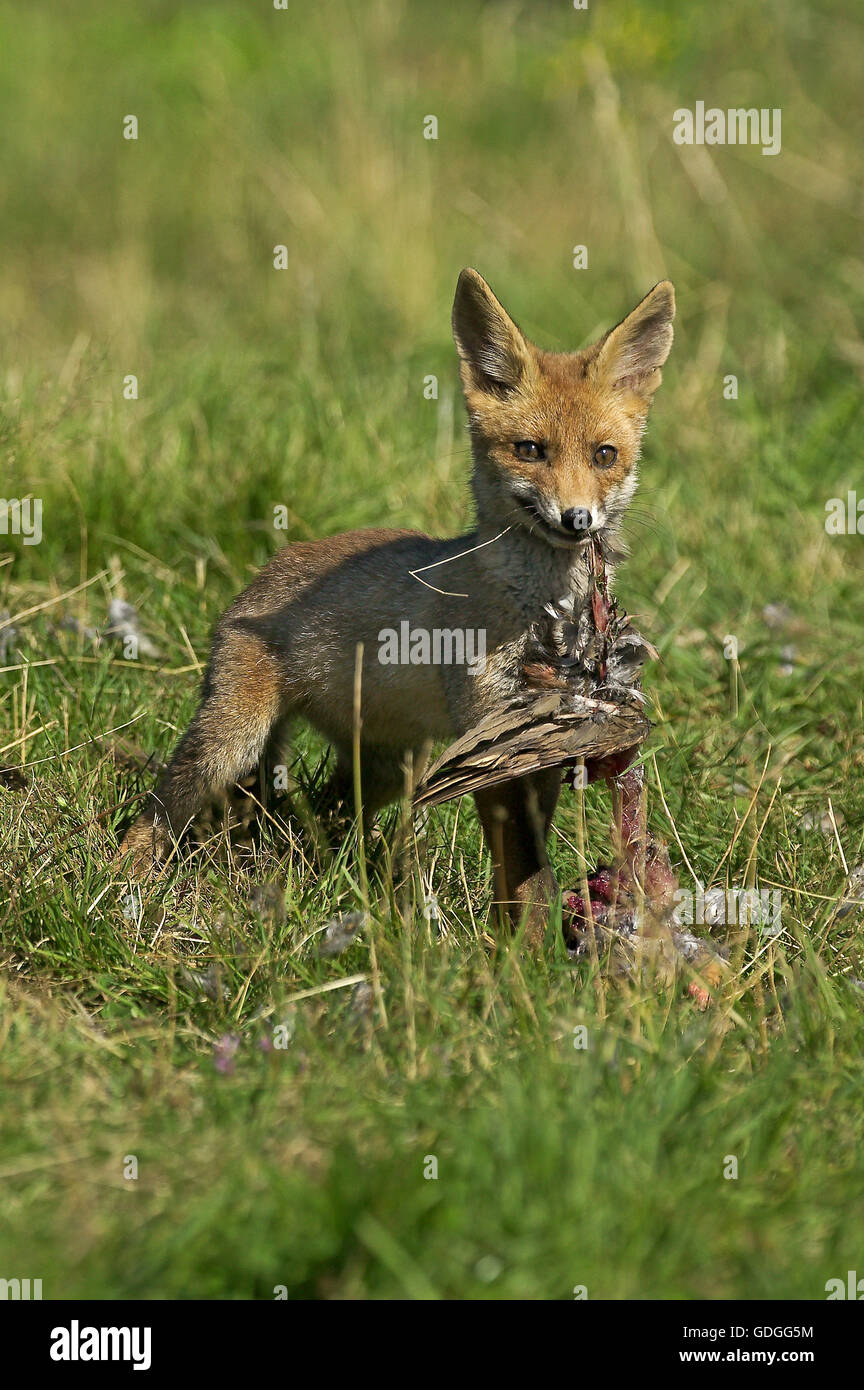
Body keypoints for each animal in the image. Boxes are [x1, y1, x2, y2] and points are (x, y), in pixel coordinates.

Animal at [120, 269, 675, 945]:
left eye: (604, 455)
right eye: (530, 450)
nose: (578, 520)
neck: (540, 614)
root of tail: (264, 574)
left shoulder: (542, 741)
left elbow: (529, 869)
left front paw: (525, 949)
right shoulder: (490, 741)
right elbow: (528, 875)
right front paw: (525, 956)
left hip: (390, 767)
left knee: (324, 814)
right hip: (231, 744)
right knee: (164, 803)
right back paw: (118, 880)